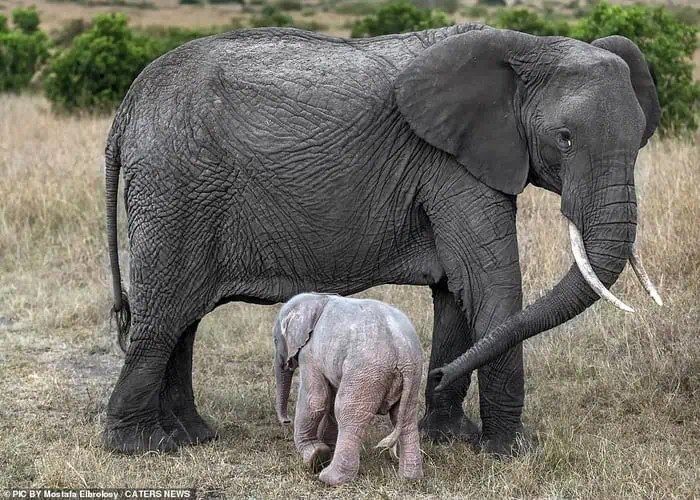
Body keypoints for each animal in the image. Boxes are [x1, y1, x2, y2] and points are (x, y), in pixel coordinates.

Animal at [103, 24, 663, 454]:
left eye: (641, 137)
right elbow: (490, 287)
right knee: (163, 316)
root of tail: (126, 109)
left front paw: (449, 437)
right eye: (564, 140)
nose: (434, 377)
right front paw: (508, 452)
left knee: (182, 319)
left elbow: (456, 293)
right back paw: (141, 446)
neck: (529, 47)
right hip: (176, 188)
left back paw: (191, 436)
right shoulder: (451, 165)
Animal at [273, 293, 424, 485]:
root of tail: (403, 350)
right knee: (406, 418)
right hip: (413, 373)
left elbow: (315, 400)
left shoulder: (309, 354)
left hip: (366, 372)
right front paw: (327, 449)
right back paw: (410, 479)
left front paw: (315, 455)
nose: (286, 421)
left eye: (276, 340)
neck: (316, 298)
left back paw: (330, 478)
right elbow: (328, 400)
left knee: (348, 413)